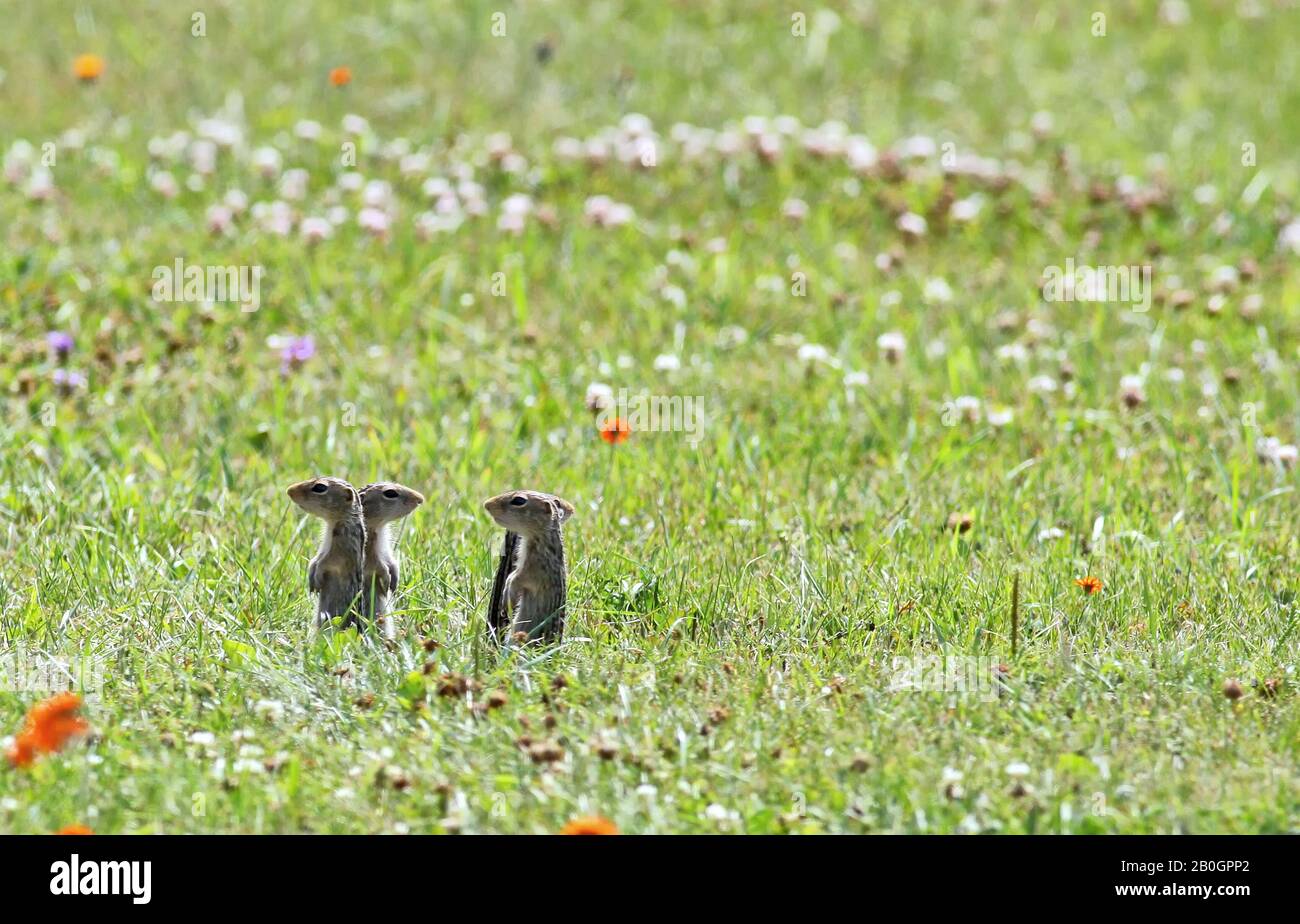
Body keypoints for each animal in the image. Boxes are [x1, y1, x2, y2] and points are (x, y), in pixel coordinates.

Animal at [287, 476, 367, 629]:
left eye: (320, 487)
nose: (289, 490)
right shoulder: (323, 550)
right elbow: (316, 559)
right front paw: (311, 576)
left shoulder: (341, 547)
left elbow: (327, 561)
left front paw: (317, 577)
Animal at [357, 481, 424, 638]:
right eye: (390, 493)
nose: (420, 499)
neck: (378, 527)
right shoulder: (369, 551)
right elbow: (377, 565)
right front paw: (387, 580)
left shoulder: (386, 550)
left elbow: (391, 561)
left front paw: (394, 580)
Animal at [483, 490, 575, 645]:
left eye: (519, 501)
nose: (487, 504)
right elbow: (511, 577)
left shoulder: (533, 567)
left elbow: (517, 578)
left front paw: (509, 598)